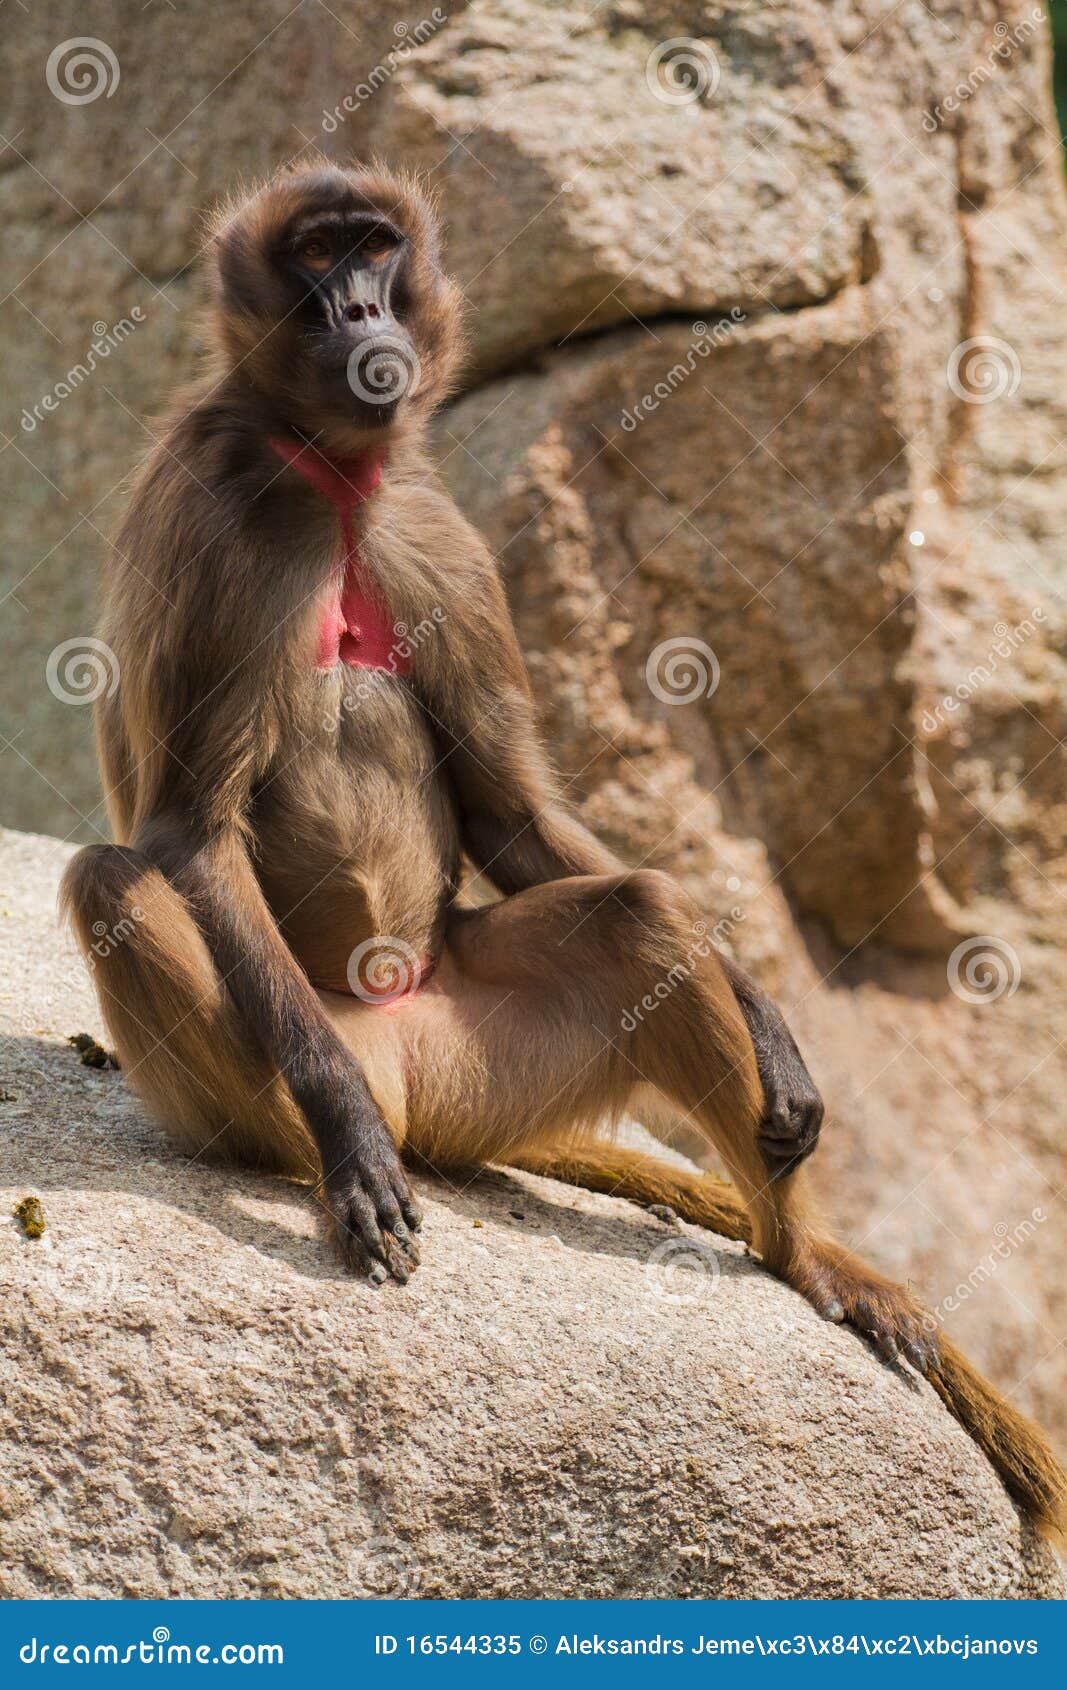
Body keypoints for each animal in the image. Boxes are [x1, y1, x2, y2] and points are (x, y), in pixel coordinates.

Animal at [60, 160, 1065, 1537]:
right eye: (316, 258)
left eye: (373, 247)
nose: (362, 307)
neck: (335, 481)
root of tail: (405, 1068)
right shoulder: (225, 509)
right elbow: (187, 831)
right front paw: (342, 1138)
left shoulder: (436, 529)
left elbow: (511, 814)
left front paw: (771, 1029)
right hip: (267, 1084)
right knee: (115, 876)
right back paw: (332, 1147)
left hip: (479, 1054)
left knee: (637, 912)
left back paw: (800, 1254)